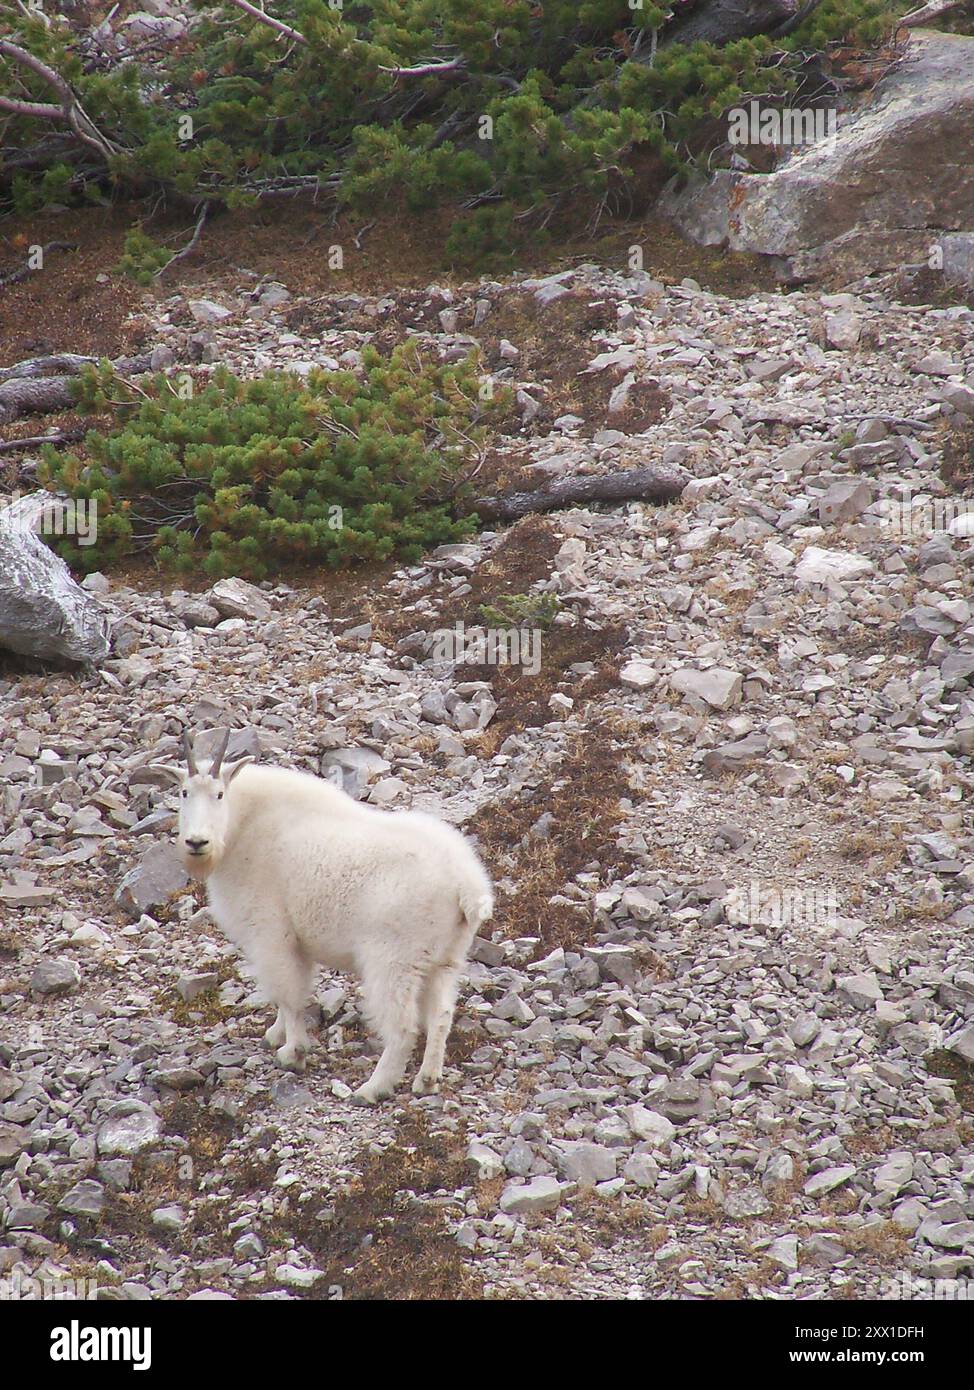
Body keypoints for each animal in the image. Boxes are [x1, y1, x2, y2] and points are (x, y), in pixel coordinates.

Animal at [153, 730, 494, 1104]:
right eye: (184, 792)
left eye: (219, 793)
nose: (197, 842)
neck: (244, 827)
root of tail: (467, 885)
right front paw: (276, 1035)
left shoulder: (272, 933)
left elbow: (288, 994)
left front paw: (293, 1052)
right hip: (445, 959)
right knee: (442, 1015)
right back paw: (428, 1079)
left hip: (393, 959)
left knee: (403, 1026)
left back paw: (372, 1088)